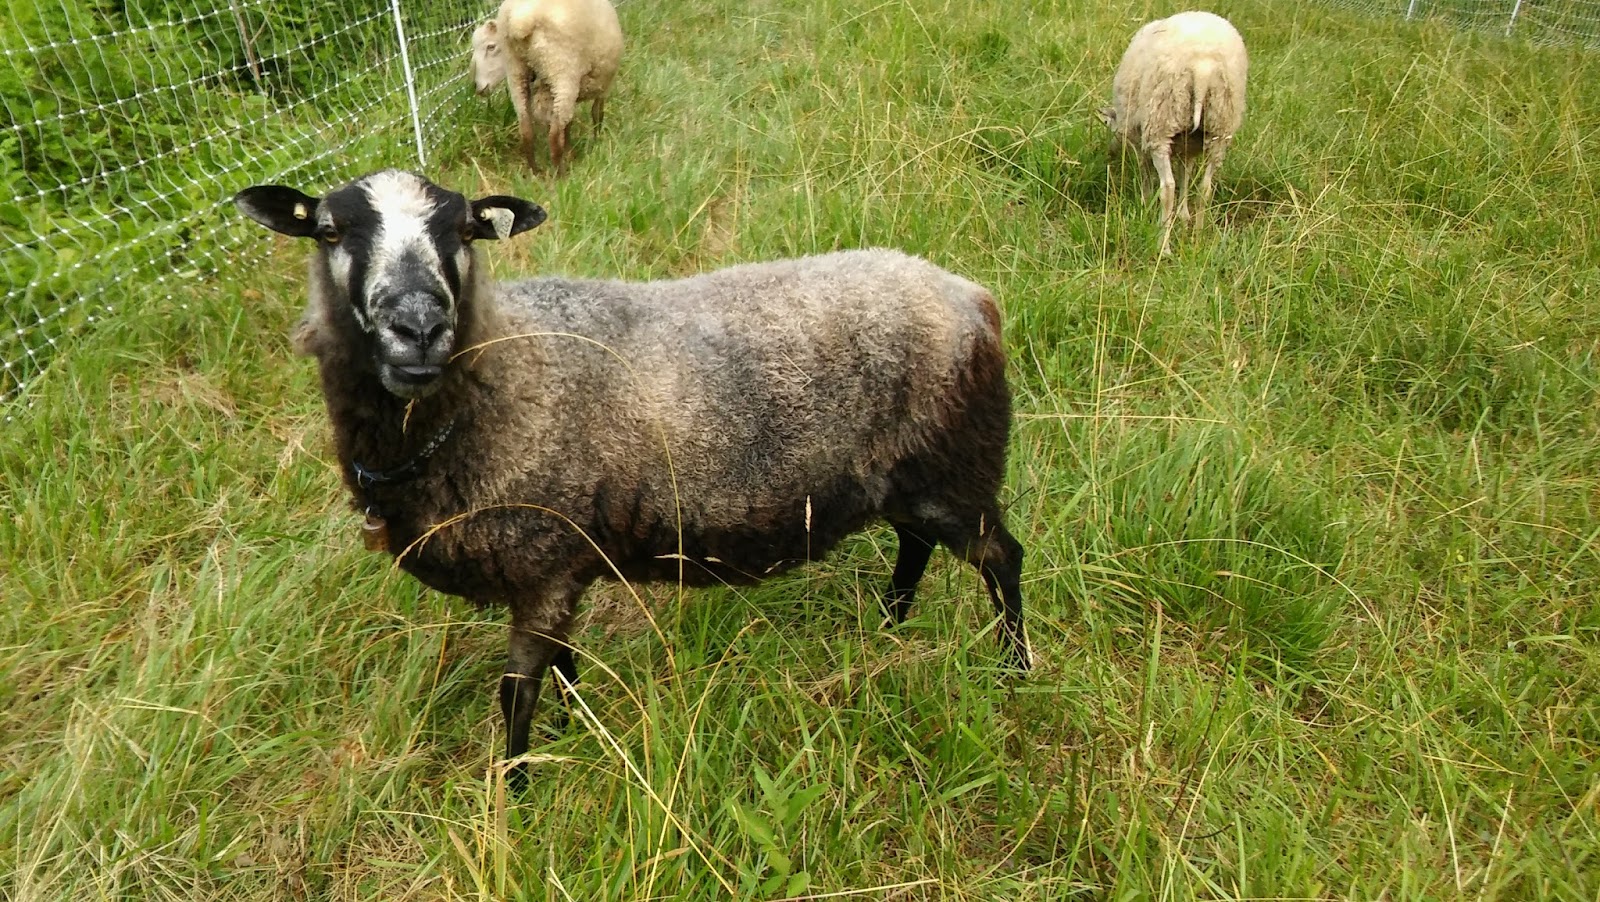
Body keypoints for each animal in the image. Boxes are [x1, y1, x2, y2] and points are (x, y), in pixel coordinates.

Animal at [234, 169, 1031, 786]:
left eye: (464, 230)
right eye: (328, 231)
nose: (419, 327)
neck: (501, 374)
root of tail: (972, 296)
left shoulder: (542, 563)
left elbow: (516, 693)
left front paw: (517, 795)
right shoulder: (558, 564)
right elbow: (561, 669)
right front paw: (571, 736)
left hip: (955, 464)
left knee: (1001, 559)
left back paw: (1013, 673)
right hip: (905, 476)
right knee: (915, 546)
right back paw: (891, 624)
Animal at [469, 0, 623, 175]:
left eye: (491, 47)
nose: (477, 86)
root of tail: (521, 20)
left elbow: (570, 122)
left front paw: (571, 152)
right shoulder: (604, 84)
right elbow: (597, 113)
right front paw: (597, 142)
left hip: (516, 72)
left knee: (526, 129)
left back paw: (535, 172)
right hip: (563, 72)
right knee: (554, 137)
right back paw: (561, 176)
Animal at [1098, 10, 1247, 255]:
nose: (1110, 153)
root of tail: (1202, 68)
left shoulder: (1140, 138)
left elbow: (1146, 171)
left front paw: (1145, 204)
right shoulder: (1188, 145)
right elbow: (1185, 173)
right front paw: (1184, 216)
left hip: (1161, 120)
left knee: (1168, 187)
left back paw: (1164, 246)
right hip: (1221, 123)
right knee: (1205, 188)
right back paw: (1198, 238)